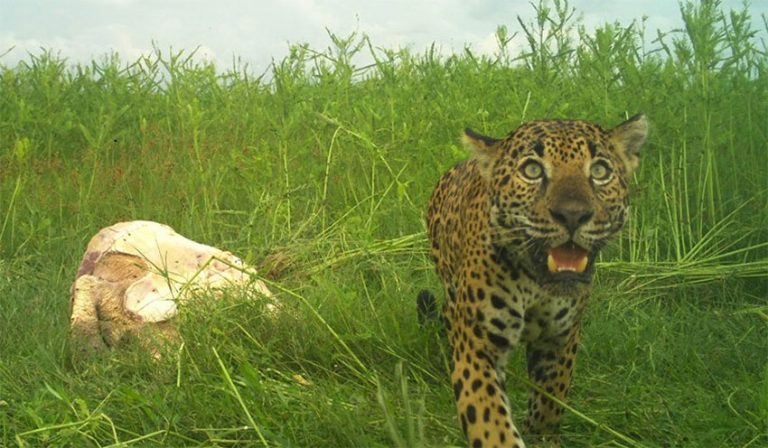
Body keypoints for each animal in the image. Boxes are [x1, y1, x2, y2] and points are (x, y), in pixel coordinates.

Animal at [421, 114, 648, 447]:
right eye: (532, 170)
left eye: (599, 171)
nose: (573, 215)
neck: (535, 285)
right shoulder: (477, 346)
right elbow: (490, 422)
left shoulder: (560, 339)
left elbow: (549, 402)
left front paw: (542, 436)